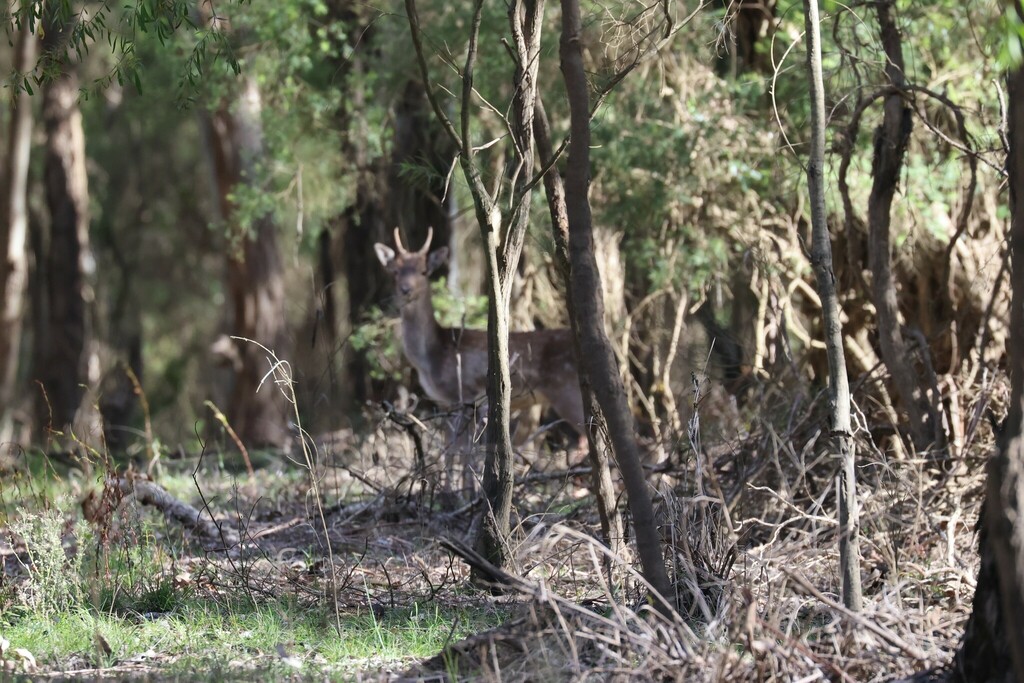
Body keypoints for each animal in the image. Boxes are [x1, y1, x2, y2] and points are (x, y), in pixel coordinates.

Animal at [374, 228, 586, 447]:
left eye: (424, 271)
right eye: (395, 271)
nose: (406, 290)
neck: (431, 357)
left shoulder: (461, 395)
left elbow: (457, 448)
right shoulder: (443, 402)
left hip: (568, 393)